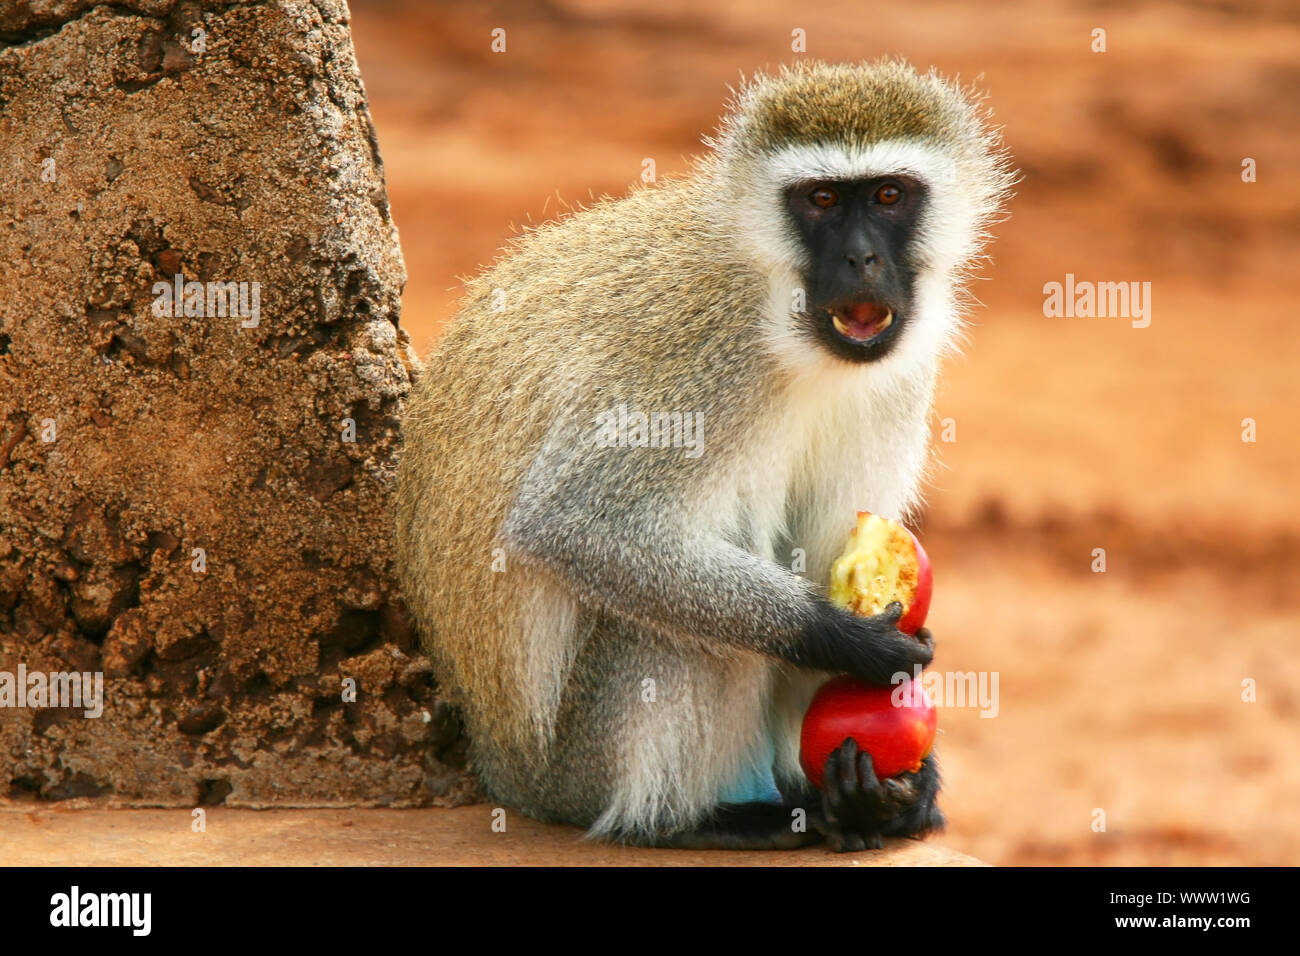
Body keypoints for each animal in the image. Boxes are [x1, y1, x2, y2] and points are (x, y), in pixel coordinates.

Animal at [395, 59, 1013, 851]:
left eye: (888, 195)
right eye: (820, 200)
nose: (862, 258)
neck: (784, 318)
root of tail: (503, 772)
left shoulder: (899, 380)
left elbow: (831, 547)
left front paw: (883, 789)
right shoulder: (699, 353)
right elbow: (570, 525)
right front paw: (843, 639)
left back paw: (845, 799)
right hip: (572, 767)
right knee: (676, 630)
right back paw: (690, 822)